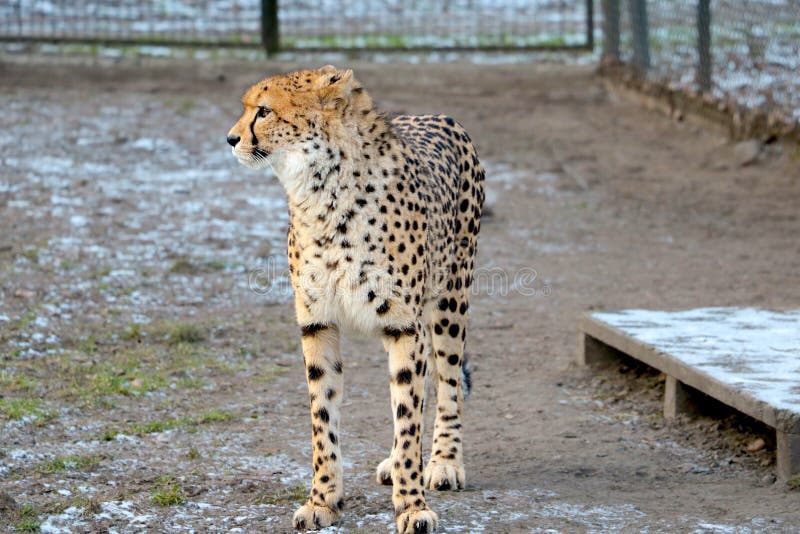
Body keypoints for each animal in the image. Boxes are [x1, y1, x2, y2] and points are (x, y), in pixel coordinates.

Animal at [227, 65, 484, 534]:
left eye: (264, 110)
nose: (231, 138)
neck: (323, 190)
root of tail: (434, 114)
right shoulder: (319, 323)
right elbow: (324, 416)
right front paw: (323, 500)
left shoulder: (404, 324)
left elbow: (408, 415)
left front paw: (412, 506)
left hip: (449, 302)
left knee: (447, 382)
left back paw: (442, 463)